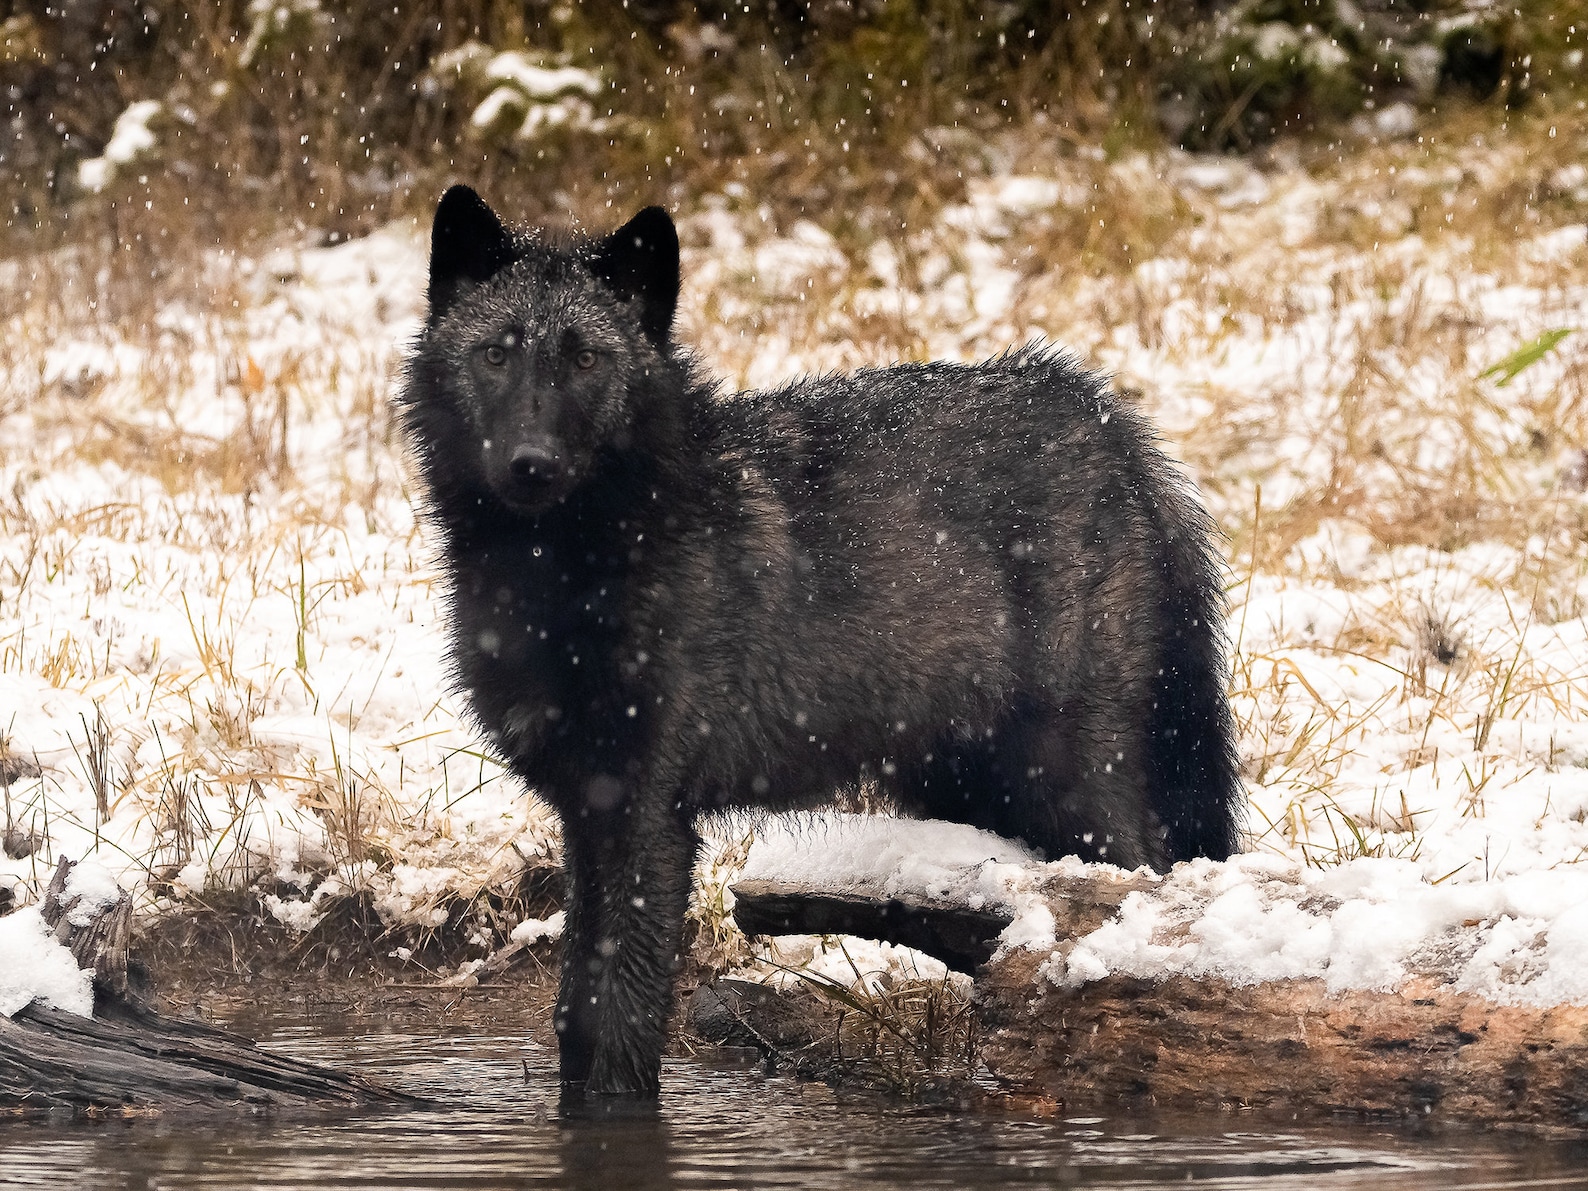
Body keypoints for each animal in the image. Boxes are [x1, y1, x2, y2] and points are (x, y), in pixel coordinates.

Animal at [399, 185, 1242, 1097]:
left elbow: (621, 1022)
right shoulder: (586, 811)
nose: (532, 462)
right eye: (496, 353)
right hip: (969, 783)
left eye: (586, 359)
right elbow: (574, 1015)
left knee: (1137, 884)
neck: (565, 571)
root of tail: (1112, 423)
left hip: (1074, 782)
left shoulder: (648, 814)